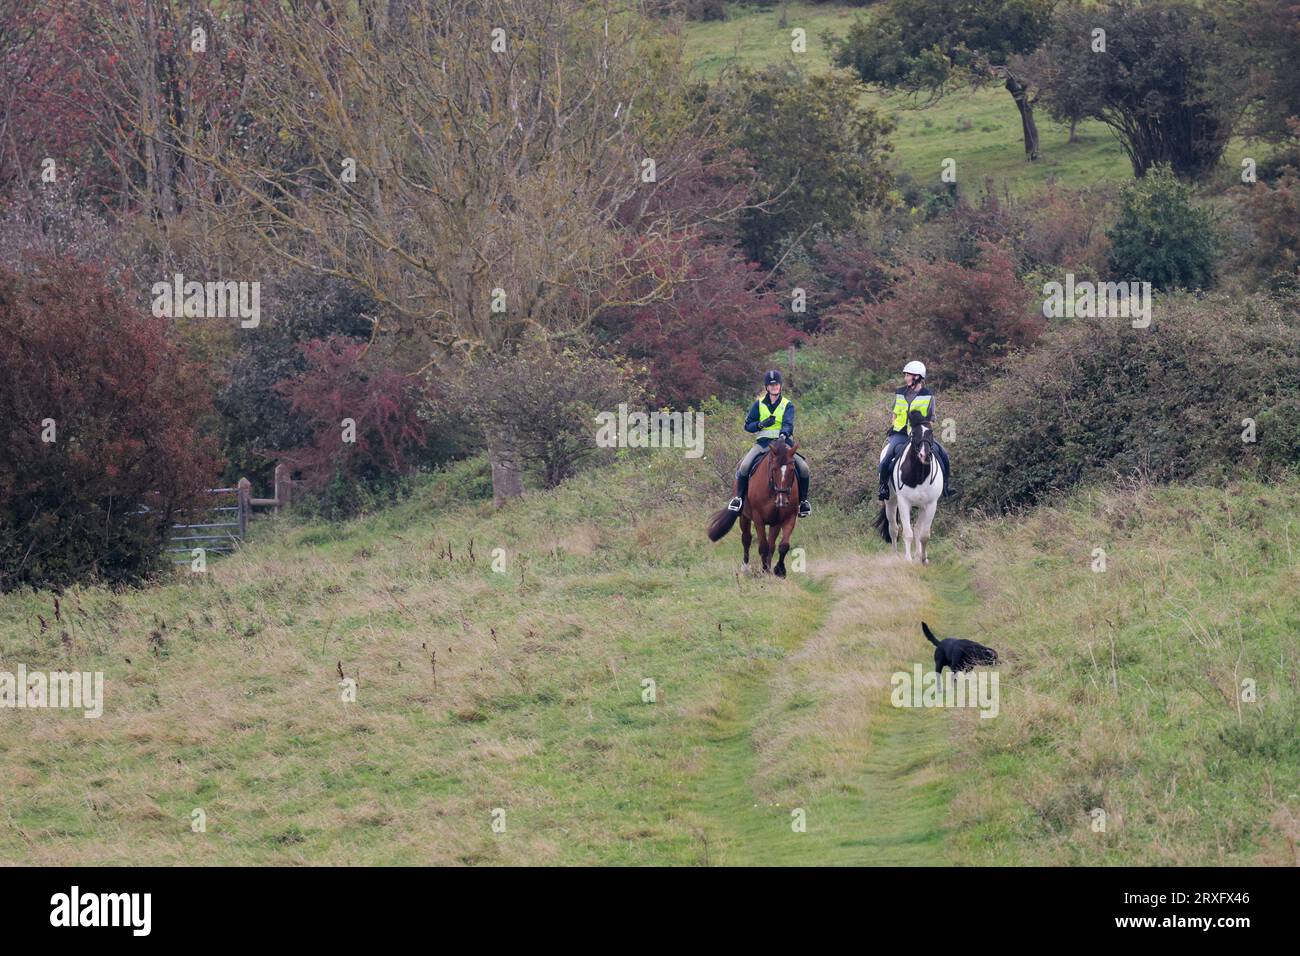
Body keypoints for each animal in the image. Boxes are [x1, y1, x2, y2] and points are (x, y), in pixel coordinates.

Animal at [706, 438, 800, 577]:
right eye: (774, 469)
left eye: (792, 469)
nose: (782, 501)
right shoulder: (758, 518)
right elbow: (763, 547)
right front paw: (764, 571)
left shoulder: (787, 518)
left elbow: (782, 546)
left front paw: (778, 571)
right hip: (744, 516)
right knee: (746, 539)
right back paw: (745, 568)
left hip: (774, 523)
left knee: (771, 545)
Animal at [874, 410, 943, 564]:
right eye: (914, 433)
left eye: (931, 432)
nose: (925, 455)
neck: (918, 475)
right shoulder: (904, 502)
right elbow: (907, 533)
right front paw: (908, 559)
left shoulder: (930, 505)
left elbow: (924, 535)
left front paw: (923, 559)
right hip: (891, 502)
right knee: (893, 528)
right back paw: (895, 554)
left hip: (921, 507)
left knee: (917, 529)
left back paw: (918, 555)